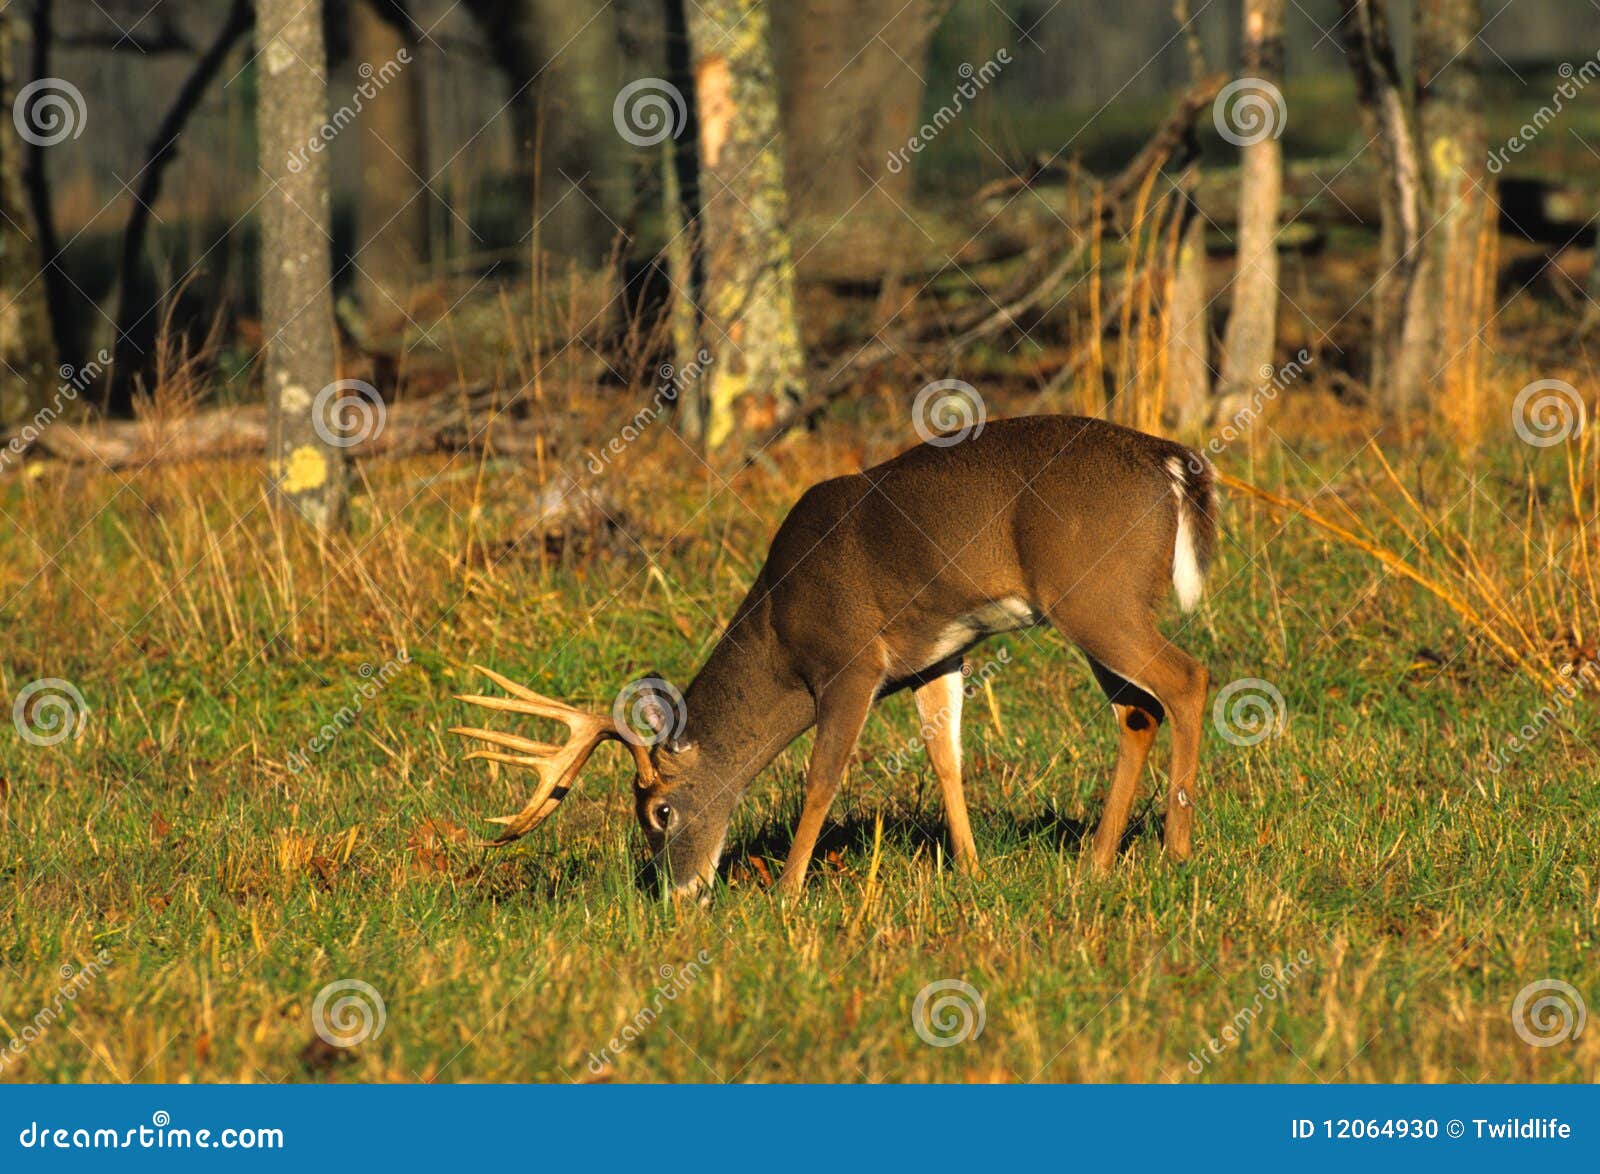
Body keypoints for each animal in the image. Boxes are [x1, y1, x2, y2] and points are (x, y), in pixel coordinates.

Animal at [451, 414, 1217, 898]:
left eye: (660, 812)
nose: (678, 893)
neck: (780, 632)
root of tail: (1171, 462)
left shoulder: (850, 663)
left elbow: (821, 777)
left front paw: (788, 892)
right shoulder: (936, 655)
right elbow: (946, 759)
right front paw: (972, 870)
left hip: (1096, 594)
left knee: (1187, 679)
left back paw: (1176, 849)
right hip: (1098, 607)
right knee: (1138, 712)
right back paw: (1097, 862)